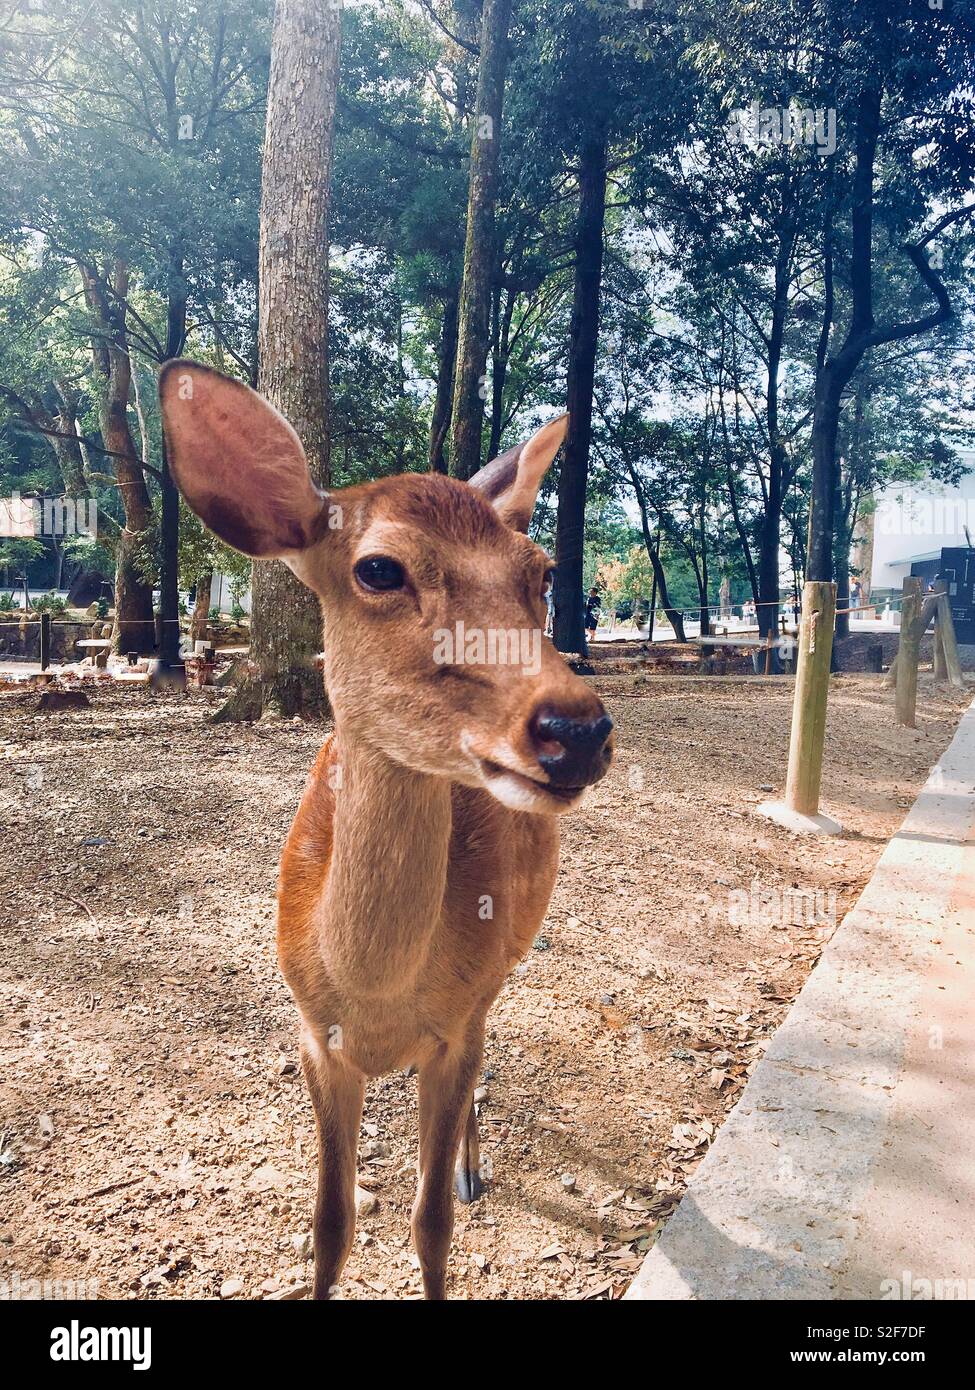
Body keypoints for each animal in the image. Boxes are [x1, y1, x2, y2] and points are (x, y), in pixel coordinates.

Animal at [159, 361, 614, 1300]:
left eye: (541, 571)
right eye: (377, 568)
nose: (576, 729)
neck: (372, 997)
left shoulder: (455, 1028)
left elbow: (430, 1223)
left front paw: (452, 1188)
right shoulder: (312, 1036)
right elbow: (329, 1225)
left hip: (505, 965)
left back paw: (473, 1167)